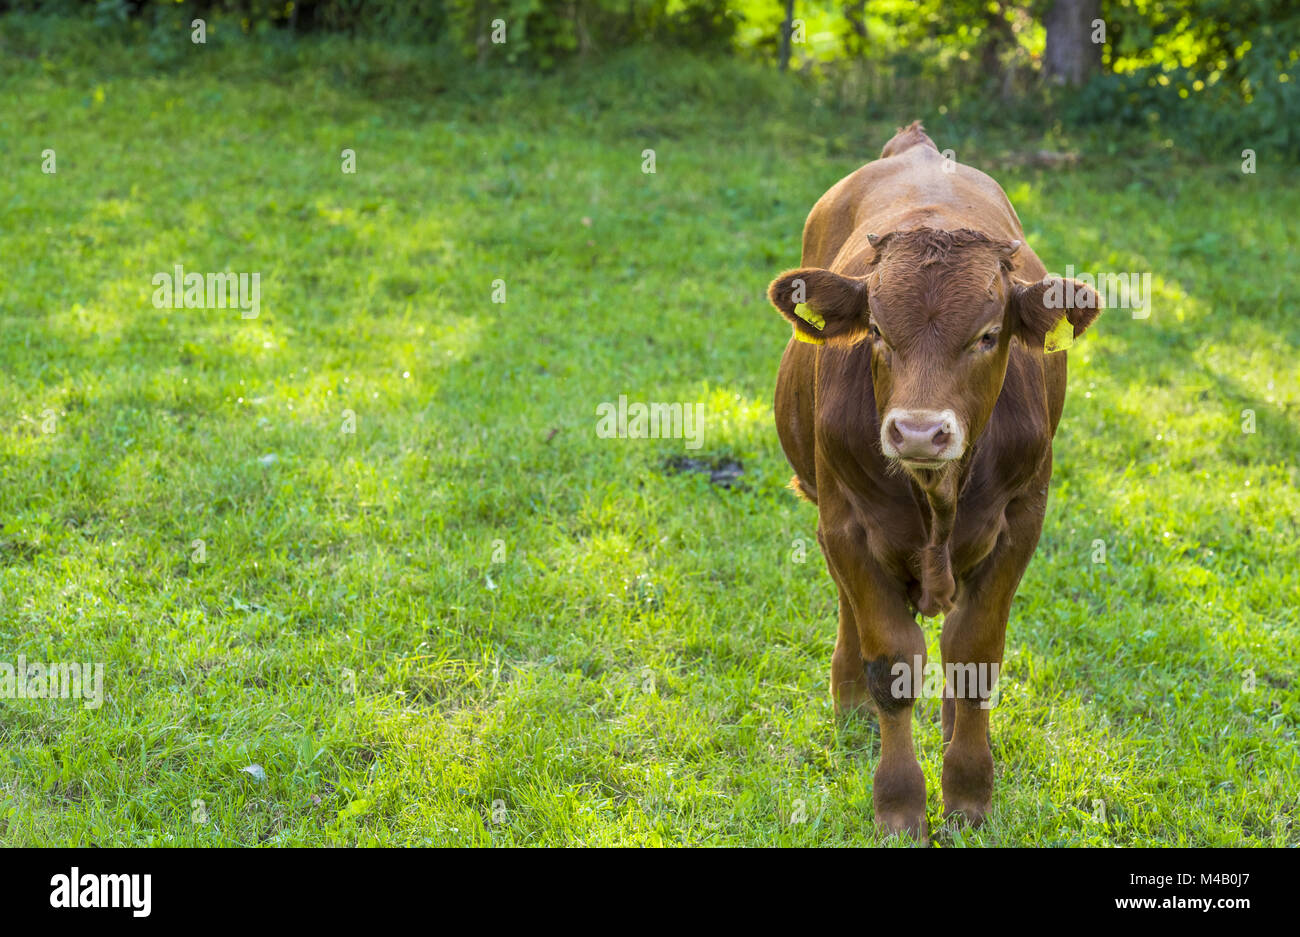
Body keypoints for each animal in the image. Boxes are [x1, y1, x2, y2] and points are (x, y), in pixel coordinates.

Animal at [768, 121, 1100, 838]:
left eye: (987, 335)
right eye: (877, 332)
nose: (919, 432)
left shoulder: (1021, 521)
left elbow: (974, 654)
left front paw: (970, 793)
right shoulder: (847, 522)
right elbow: (891, 662)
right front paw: (899, 805)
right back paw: (850, 701)